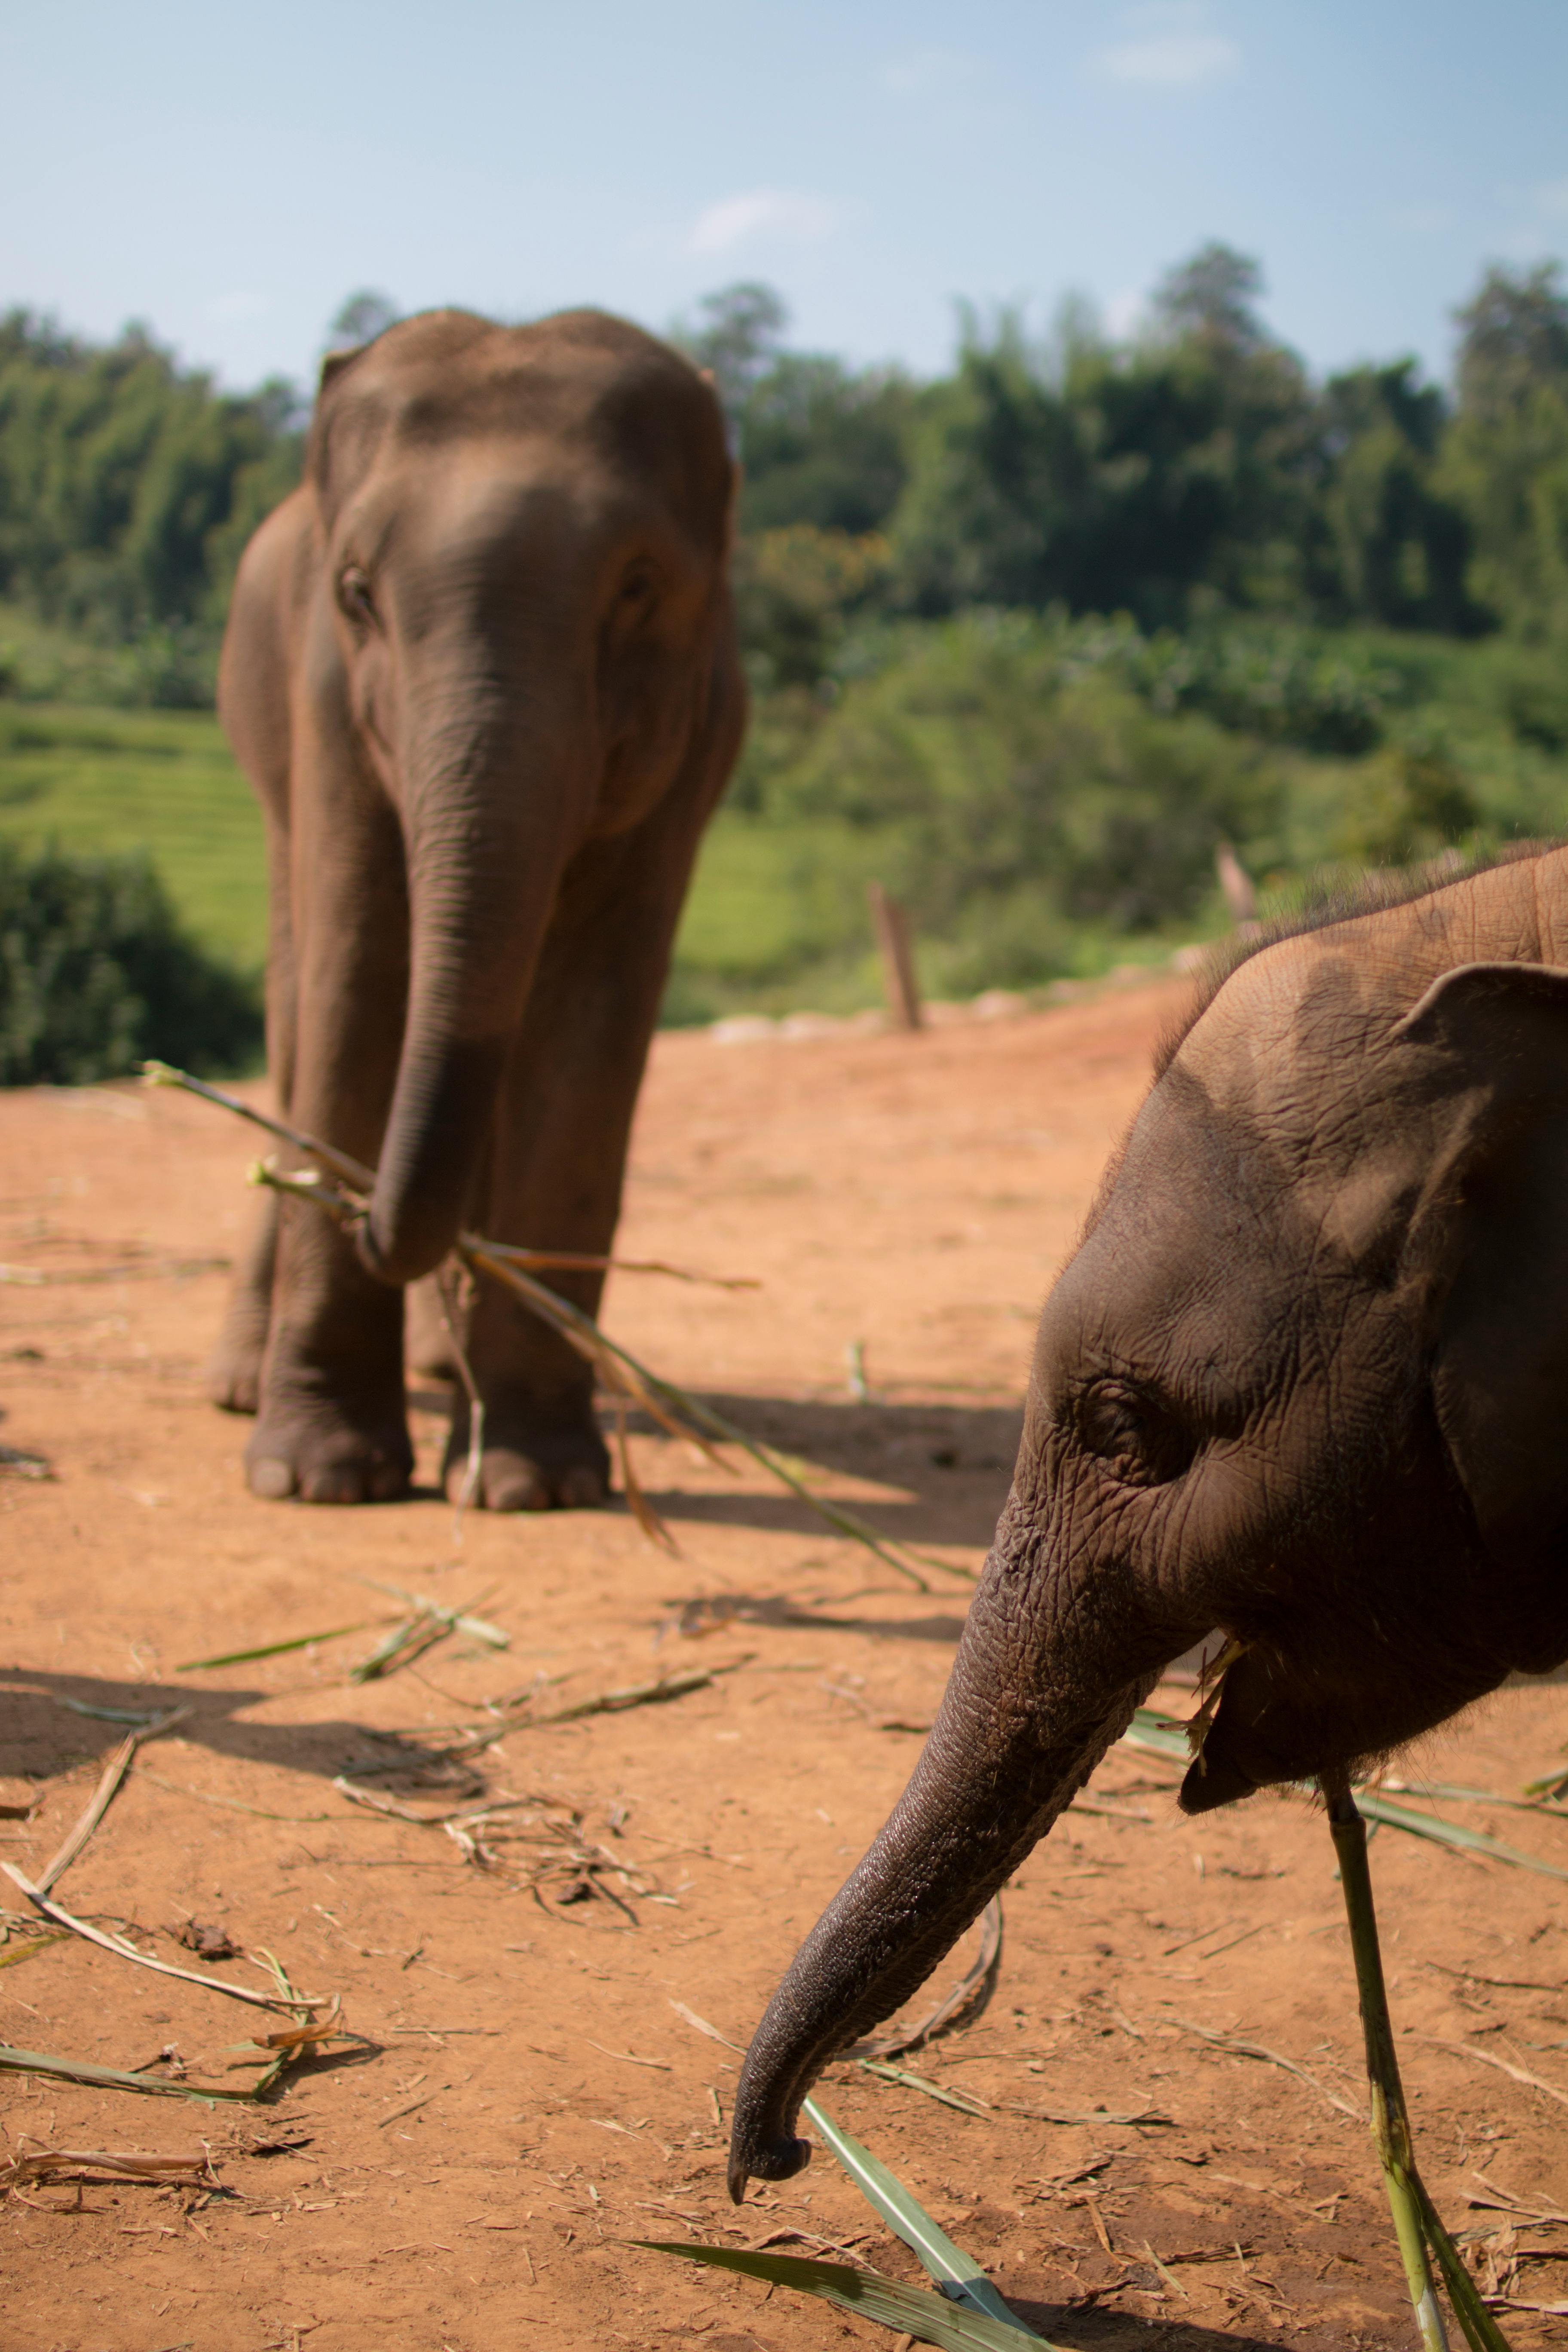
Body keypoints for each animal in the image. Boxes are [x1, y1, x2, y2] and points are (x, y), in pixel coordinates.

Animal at [208, 307, 743, 1509]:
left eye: (637, 584)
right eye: (357, 591)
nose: (367, 1220)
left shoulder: (695, 741)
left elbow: (593, 1024)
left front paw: (535, 1482)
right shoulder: (327, 707)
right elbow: (359, 979)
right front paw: (320, 1477)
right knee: (295, 1010)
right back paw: (242, 1385)